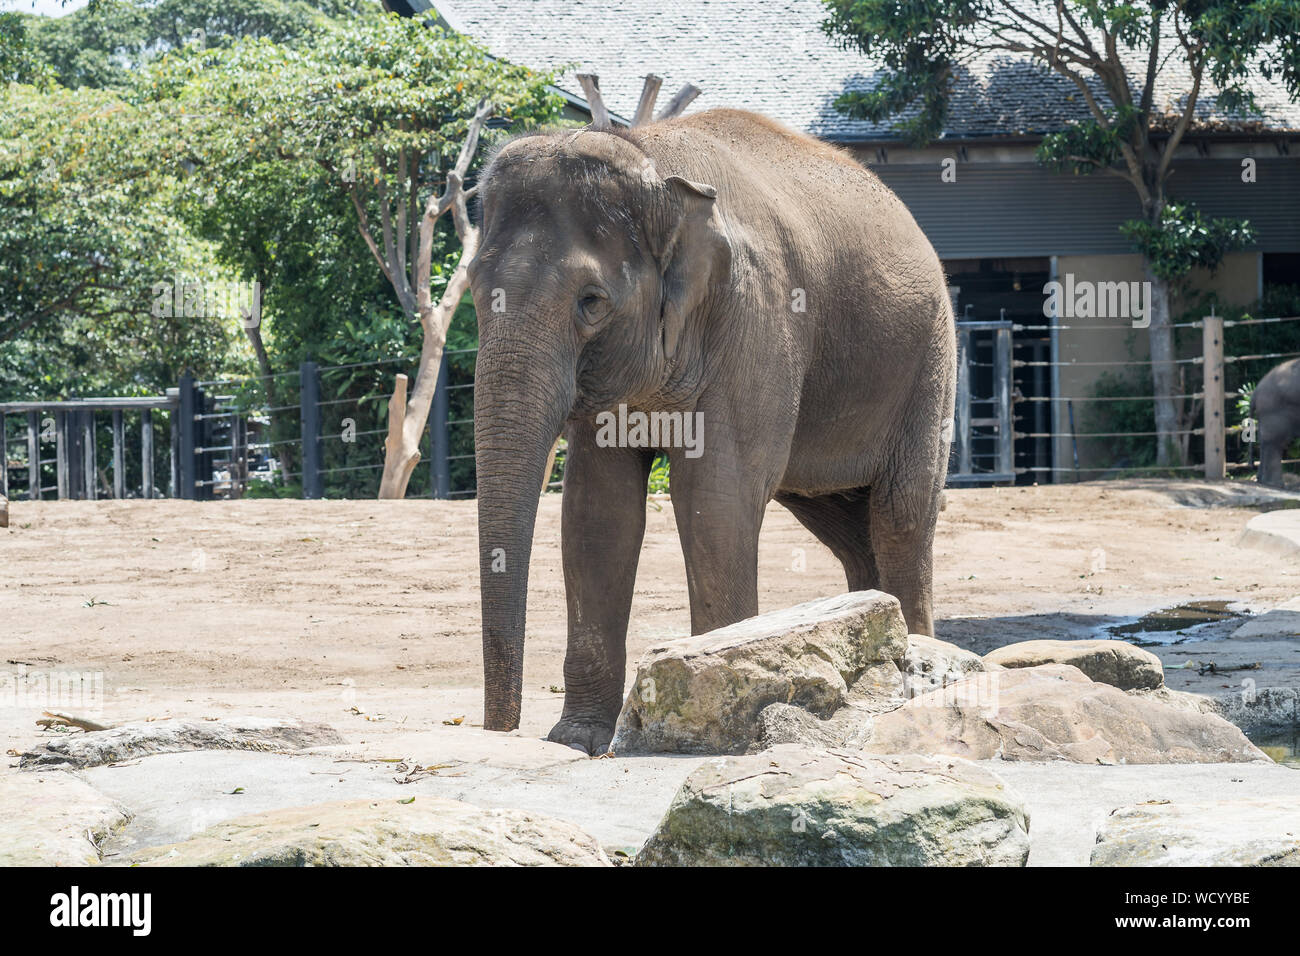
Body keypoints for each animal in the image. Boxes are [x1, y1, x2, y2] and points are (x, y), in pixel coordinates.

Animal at [468, 108, 956, 754]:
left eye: (591, 302)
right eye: (474, 290)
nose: (501, 731)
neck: (649, 156)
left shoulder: (758, 318)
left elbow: (714, 497)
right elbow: (598, 512)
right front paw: (577, 741)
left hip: (930, 361)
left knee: (901, 512)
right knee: (848, 526)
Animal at [1252, 357, 1300, 488]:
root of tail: (1256, 390)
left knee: (1264, 441)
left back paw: (1262, 481)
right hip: (1274, 409)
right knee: (1274, 441)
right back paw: (1275, 484)